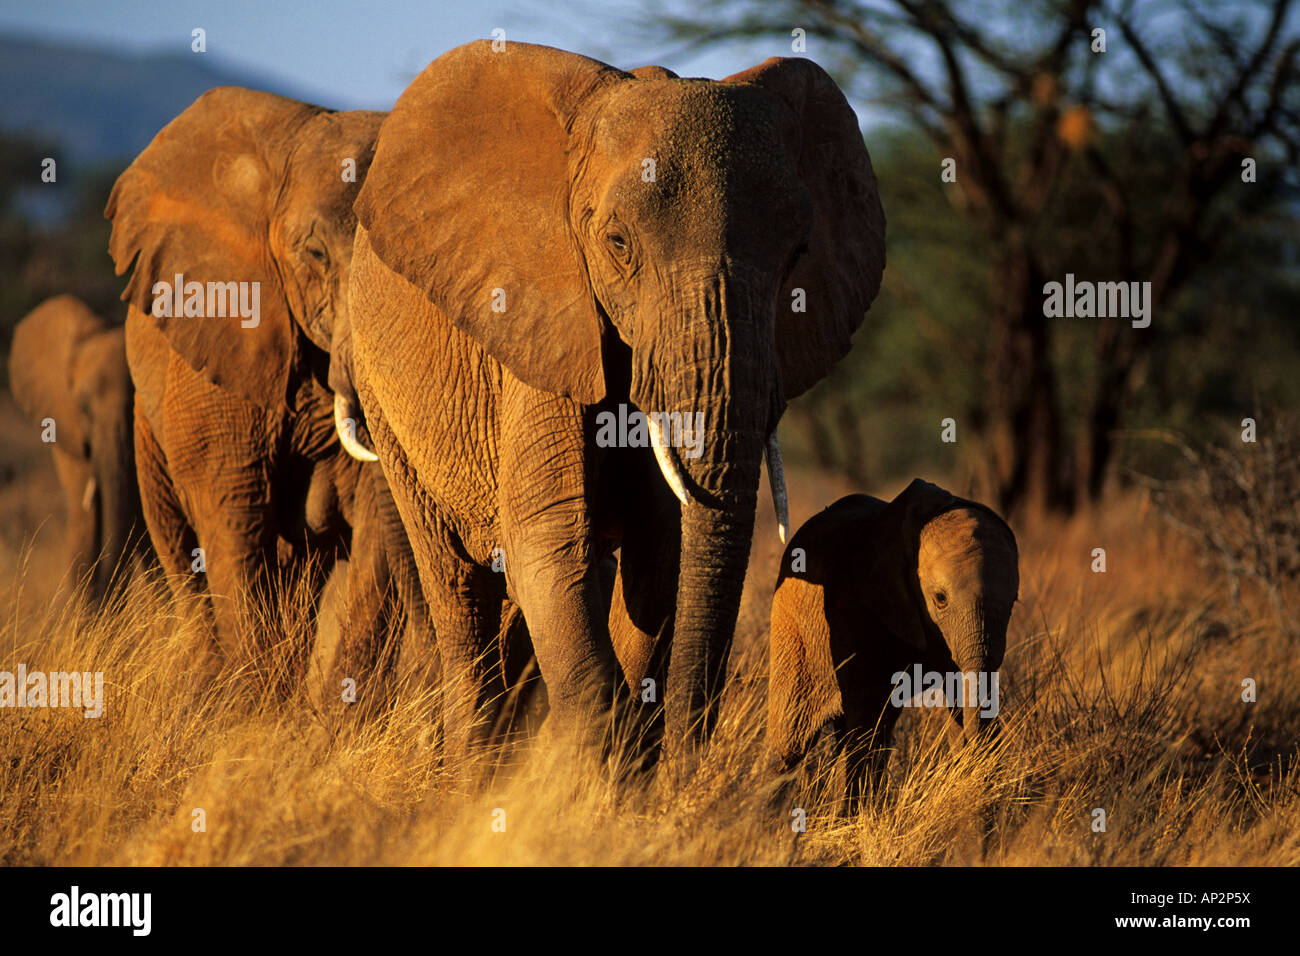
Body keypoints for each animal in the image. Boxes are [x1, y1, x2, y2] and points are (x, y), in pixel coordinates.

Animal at [104, 87, 424, 708]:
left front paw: (332, 719)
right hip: (144, 426)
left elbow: (374, 526)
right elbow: (233, 514)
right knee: (183, 553)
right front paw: (255, 712)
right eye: (315, 254)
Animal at [336, 41, 885, 779]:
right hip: (382, 399)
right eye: (618, 244)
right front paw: (601, 772)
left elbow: (660, 555)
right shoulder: (541, 315)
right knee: (456, 586)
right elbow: (551, 541)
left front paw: (632, 770)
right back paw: (473, 775)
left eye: (799, 253)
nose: (691, 764)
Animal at [766, 479, 1019, 811]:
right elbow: (865, 715)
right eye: (940, 599)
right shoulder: (852, 604)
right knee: (792, 738)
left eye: (1014, 601)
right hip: (791, 630)